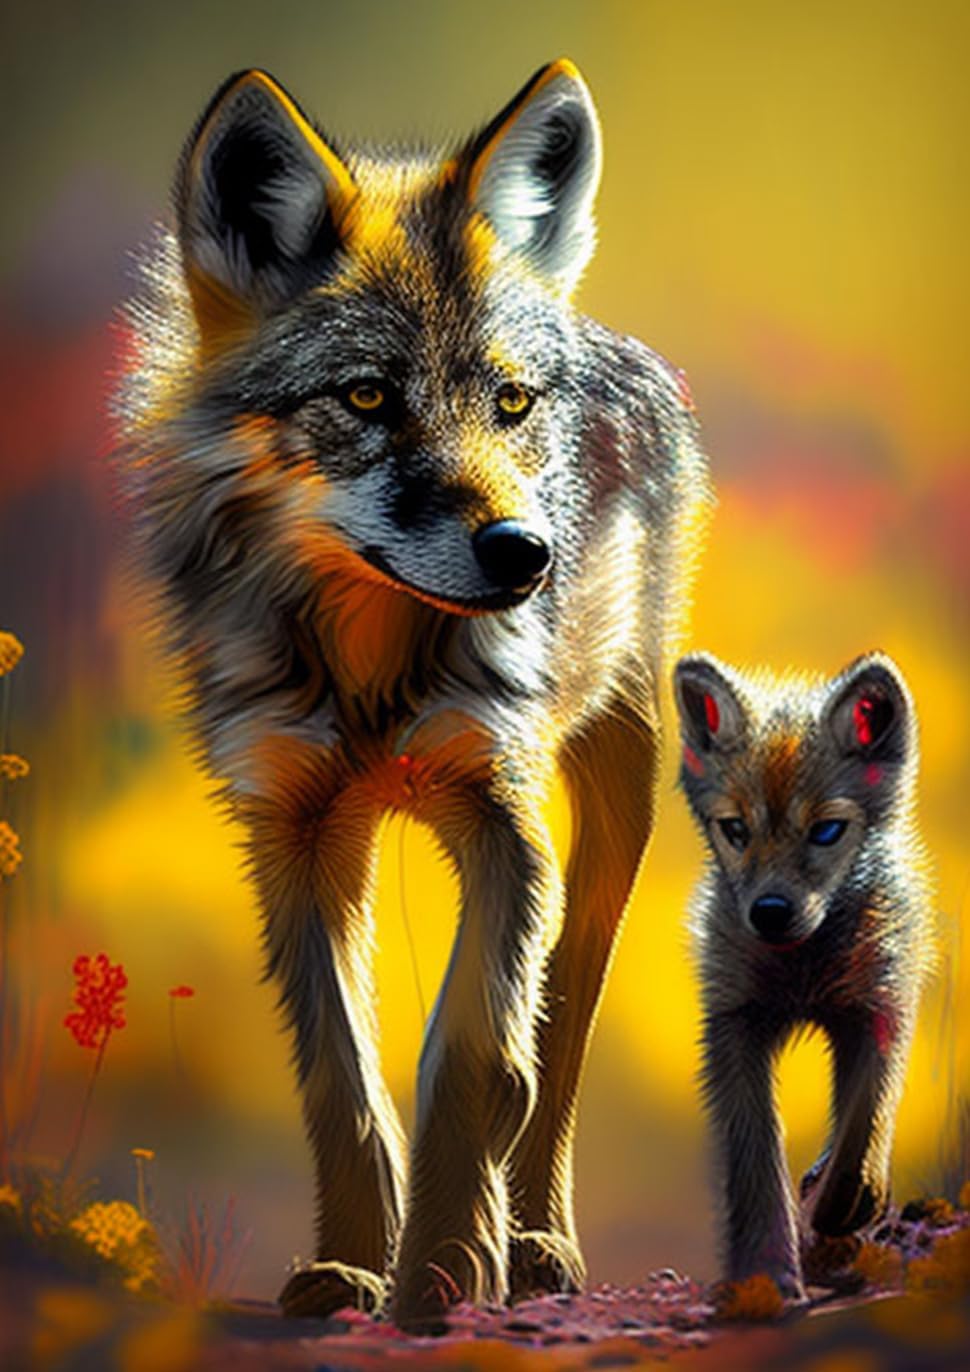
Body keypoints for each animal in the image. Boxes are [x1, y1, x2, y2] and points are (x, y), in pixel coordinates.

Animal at [119, 59, 710, 1325]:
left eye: (511, 404)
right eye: (367, 399)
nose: (525, 555)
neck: (367, 673)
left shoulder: (500, 815)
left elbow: (473, 1061)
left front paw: (442, 1267)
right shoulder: (289, 830)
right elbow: (340, 1079)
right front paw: (350, 1264)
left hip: (614, 805)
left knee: (560, 1036)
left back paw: (533, 1238)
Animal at [673, 651, 933, 1300]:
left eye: (825, 832)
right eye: (735, 830)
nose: (769, 912)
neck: (803, 966)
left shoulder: (878, 1006)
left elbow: (863, 1129)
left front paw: (844, 1207)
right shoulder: (733, 1025)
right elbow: (755, 1160)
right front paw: (765, 1279)